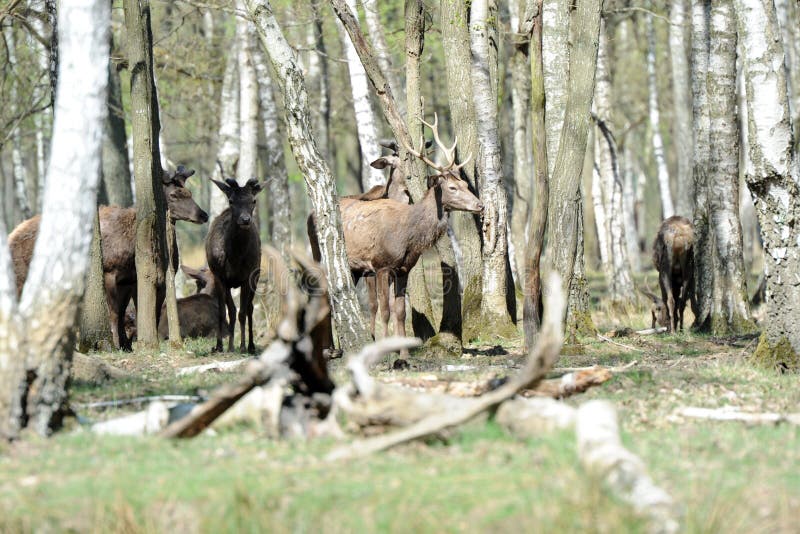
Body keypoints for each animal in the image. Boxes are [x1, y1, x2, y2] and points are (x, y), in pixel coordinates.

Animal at [7, 165, 208, 350]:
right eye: (174, 194)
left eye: (189, 192)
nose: (203, 214)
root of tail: (11, 235)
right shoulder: (109, 272)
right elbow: (114, 312)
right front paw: (116, 344)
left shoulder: (131, 279)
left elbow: (132, 312)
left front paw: (127, 345)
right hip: (20, 279)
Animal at [205, 171, 265, 353]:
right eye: (231, 200)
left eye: (253, 200)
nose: (245, 219)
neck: (234, 258)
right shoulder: (220, 276)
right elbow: (227, 311)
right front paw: (223, 345)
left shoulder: (247, 277)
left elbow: (242, 312)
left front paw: (242, 345)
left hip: (256, 275)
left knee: (250, 308)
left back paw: (251, 345)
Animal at [308, 115, 483, 355]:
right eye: (452, 188)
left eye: (465, 183)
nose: (480, 205)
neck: (408, 235)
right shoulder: (381, 265)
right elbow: (385, 309)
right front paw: (386, 350)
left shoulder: (403, 269)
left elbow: (400, 311)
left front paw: (404, 352)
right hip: (321, 255)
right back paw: (329, 349)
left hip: (353, 268)